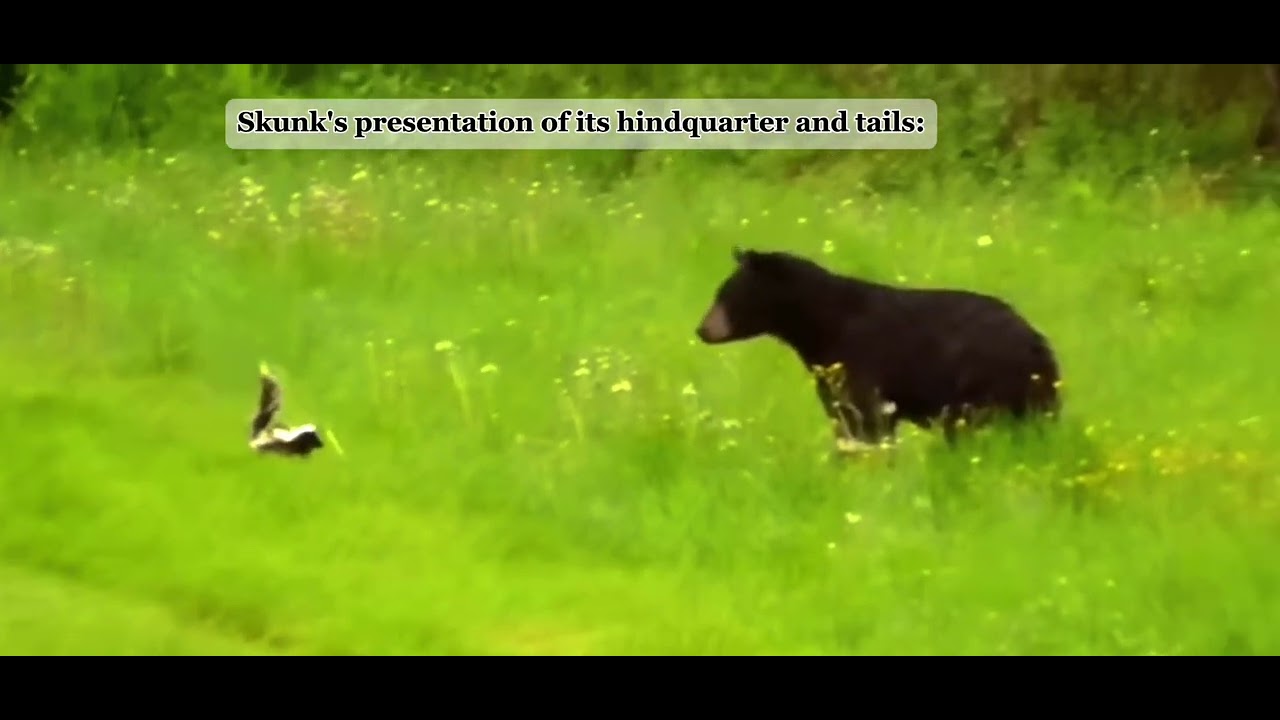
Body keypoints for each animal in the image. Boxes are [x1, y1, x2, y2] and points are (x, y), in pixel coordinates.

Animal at [695, 247, 1062, 449]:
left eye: (726, 294)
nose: (702, 329)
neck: (820, 324)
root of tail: (1038, 342)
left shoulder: (860, 360)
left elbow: (865, 418)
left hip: (982, 385)